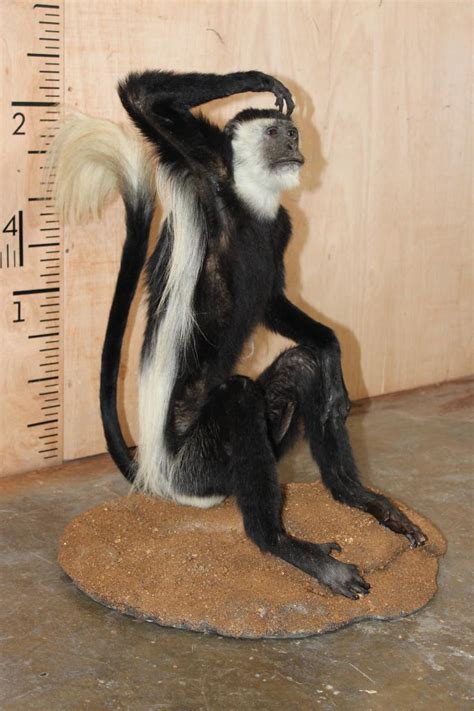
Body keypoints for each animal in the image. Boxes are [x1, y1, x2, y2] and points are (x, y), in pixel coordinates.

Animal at [51, 70, 426, 600]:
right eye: (274, 132)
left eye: (292, 134)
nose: (293, 145)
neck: (253, 202)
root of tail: (159, 474)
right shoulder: (208, 178)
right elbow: (143, 99)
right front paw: (259, 80)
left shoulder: (282, 227)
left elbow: (279, 310)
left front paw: (334, 357)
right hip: (196, 466)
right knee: (241, 396)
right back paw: (283, 545)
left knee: (302, 367)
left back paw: (359, 498)